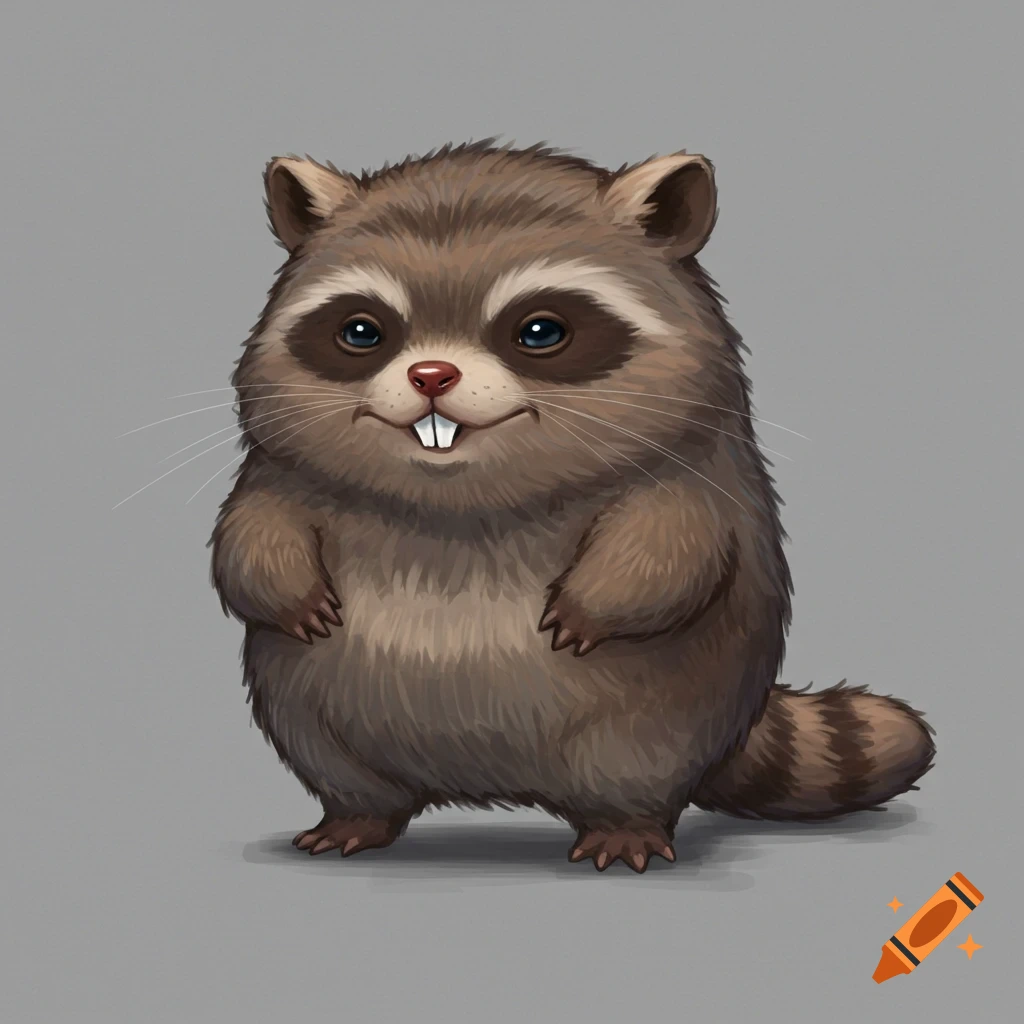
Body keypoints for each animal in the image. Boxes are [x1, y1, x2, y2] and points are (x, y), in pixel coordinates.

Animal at [210, 140, 934, 872]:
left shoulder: (691, 472)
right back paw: (357, 815)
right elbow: (250, 533)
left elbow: (672, 548)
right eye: (362, 331)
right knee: (335, 759)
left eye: (539, 331)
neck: (460, 497)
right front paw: (288, 591)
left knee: (634, 767)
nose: (431, 376)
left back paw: (625, 824)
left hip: (666, 718)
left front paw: (595, 603)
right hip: (308, 711)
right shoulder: (281, 472)